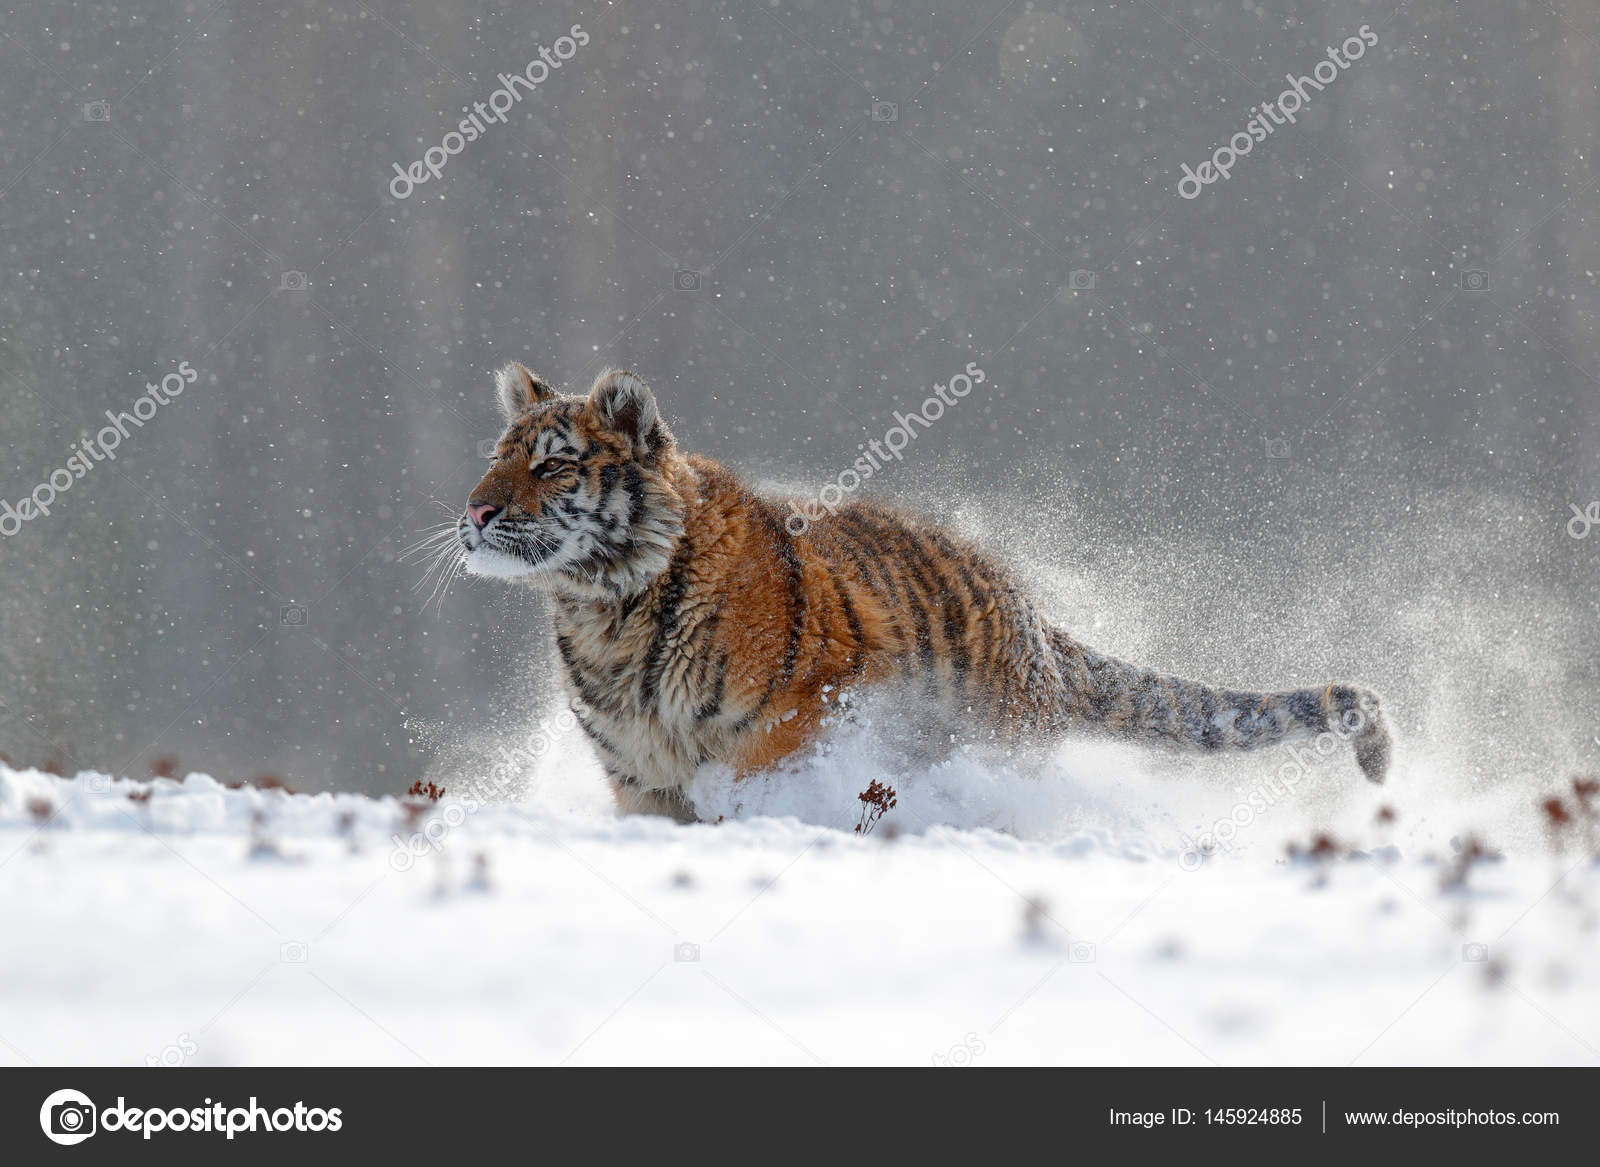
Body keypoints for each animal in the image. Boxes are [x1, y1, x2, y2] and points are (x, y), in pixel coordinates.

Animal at [457, 362, 1391, 822]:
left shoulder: (788, 724)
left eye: (552, 464)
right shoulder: (638, 773)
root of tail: (1034, 618)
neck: (605, 608)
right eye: (497, 457)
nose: (473, 511)